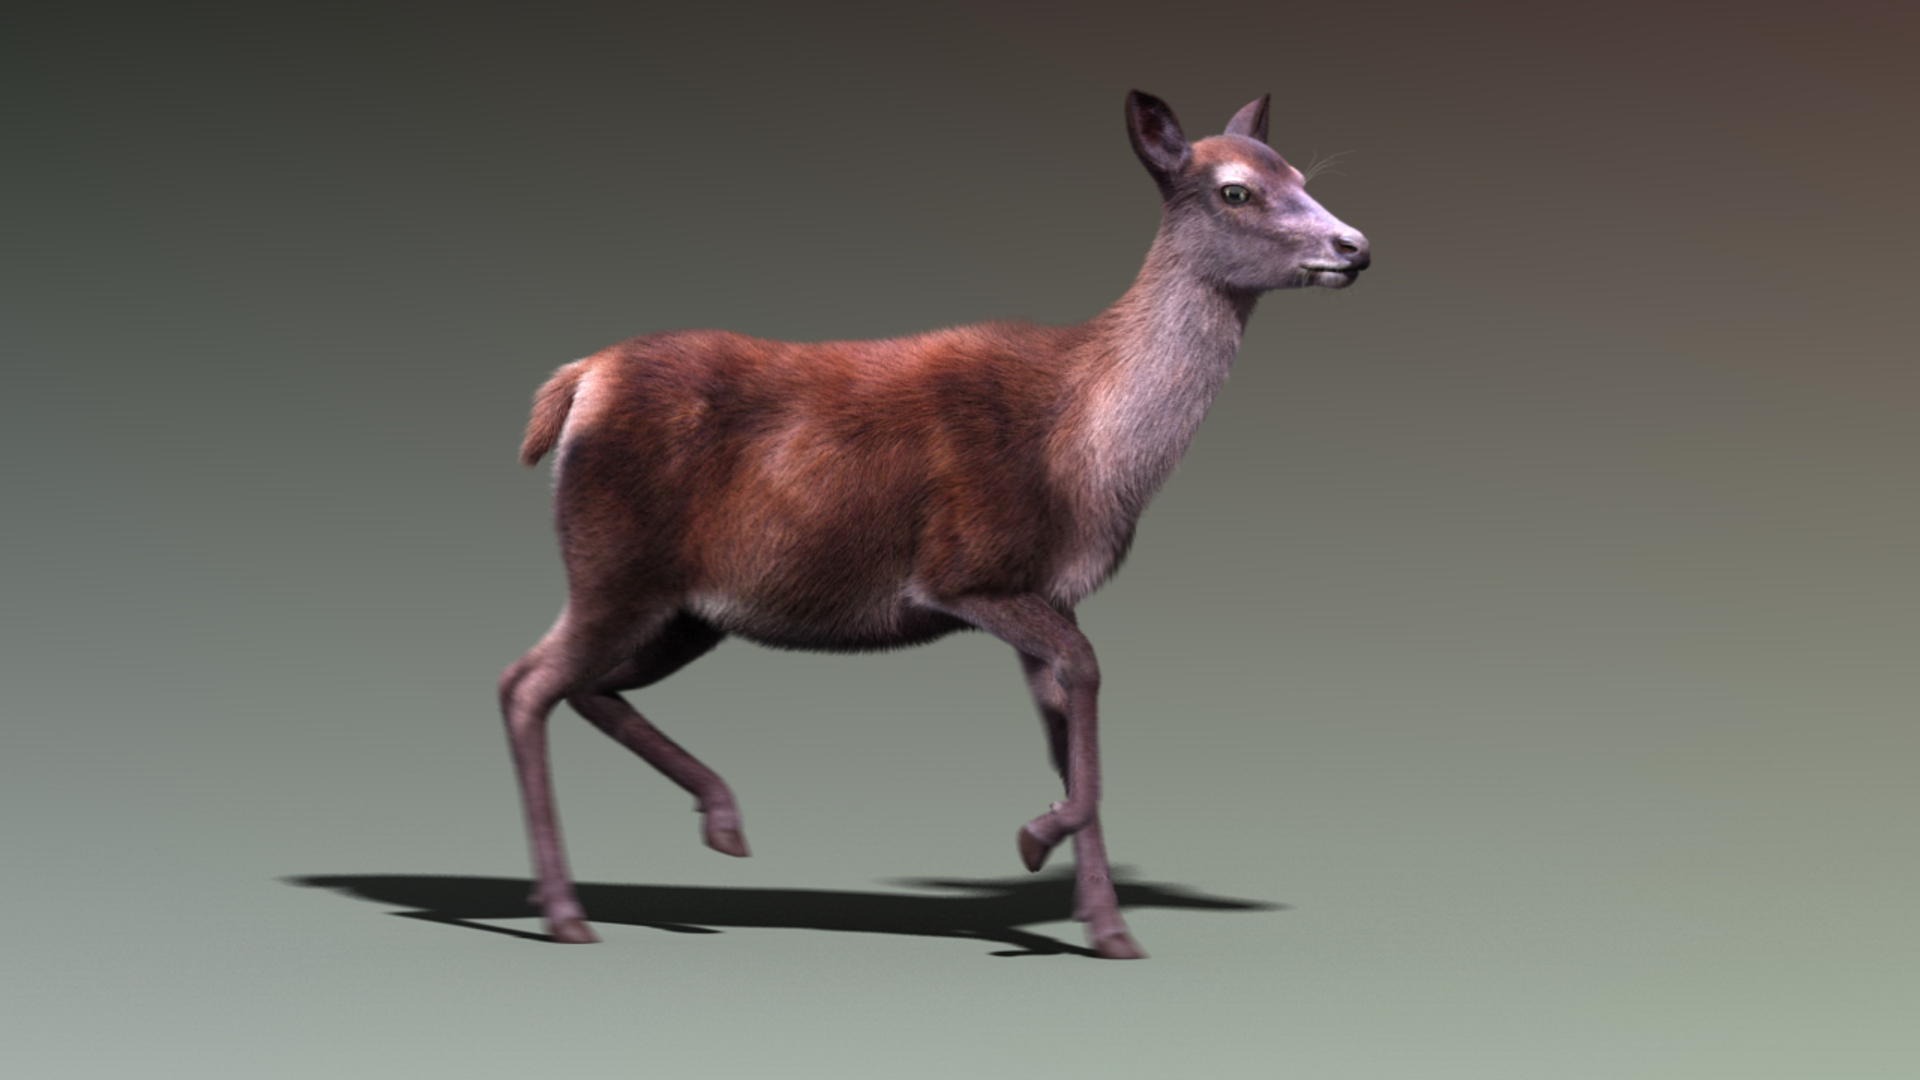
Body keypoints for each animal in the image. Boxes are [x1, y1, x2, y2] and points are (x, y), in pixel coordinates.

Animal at [498, 90, 1369, 959]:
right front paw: (1038, 843)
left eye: (1297, 173)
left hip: (688, 612)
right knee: (526, 683)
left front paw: (1107, 923)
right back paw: (567, 911)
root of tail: (576, 383)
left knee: (586, 686)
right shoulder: (963, 569)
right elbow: (1087, 672)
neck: (1085, 452)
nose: (1355, 247)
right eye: (1235, 191)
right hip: (614, 564)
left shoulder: (1049, 589)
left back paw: (719, 824)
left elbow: (1068, 721)